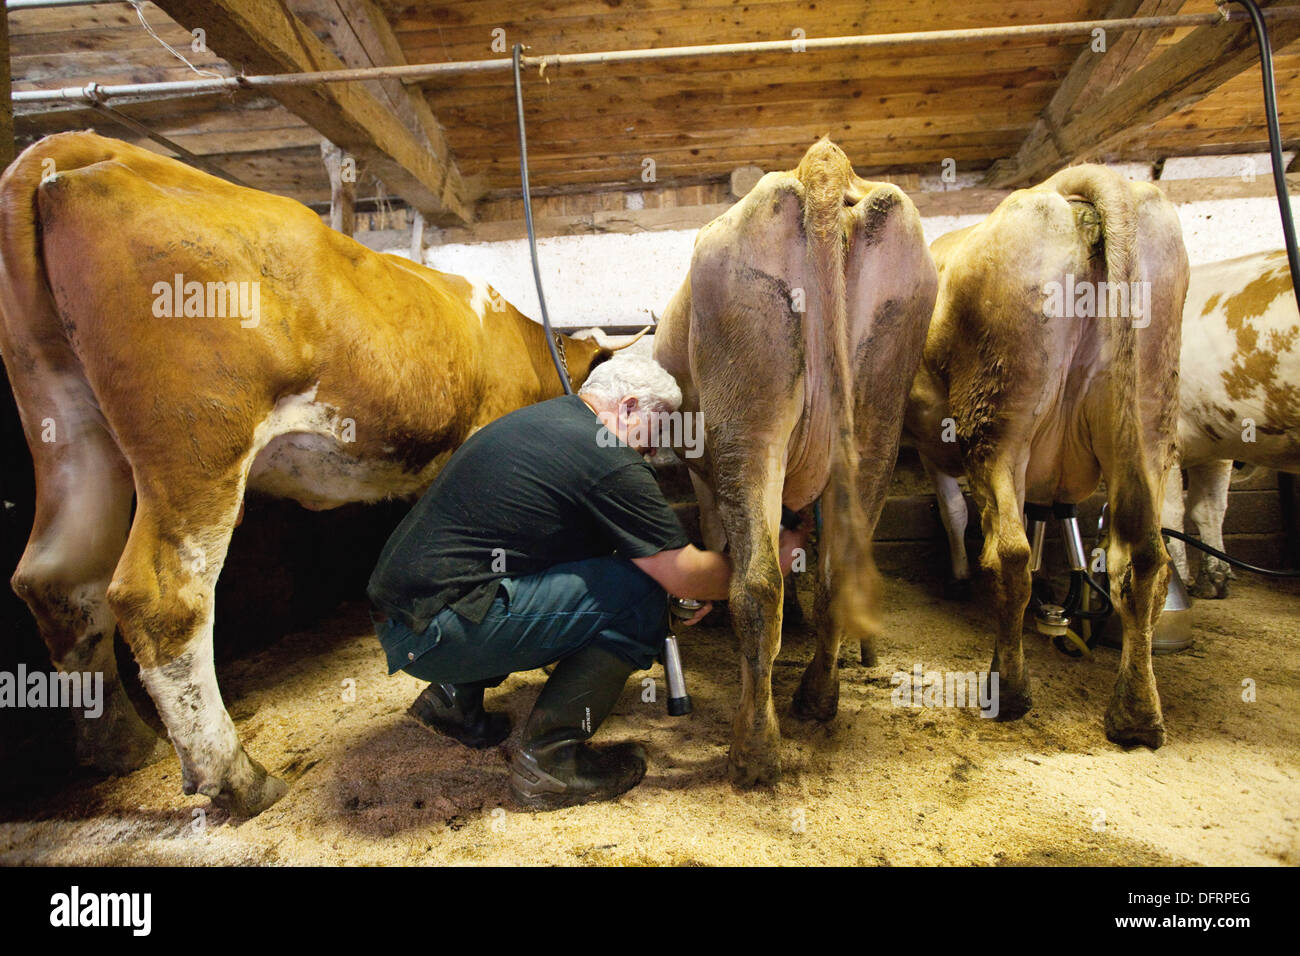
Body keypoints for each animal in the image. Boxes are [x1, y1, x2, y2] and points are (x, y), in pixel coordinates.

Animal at [0, 131, 626, 816]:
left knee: (58, 582)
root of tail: (91, 148)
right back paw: (239, 779)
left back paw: (123, 747)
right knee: (161, 599)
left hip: (70, 432)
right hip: (195, 448)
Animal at [654, 138, 938, 785]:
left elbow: (720, 539)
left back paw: (754, 751)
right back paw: (816, 699)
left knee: (757, 583)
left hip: (748, 421)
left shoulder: (704, 471)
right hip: (877, 420)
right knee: (836, 576)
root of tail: (822, 170)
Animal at [905, 164, 1188, 749]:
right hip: (1149, 426)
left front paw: (959, 574)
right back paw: (1136, 713)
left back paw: (1008, 690)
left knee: (1009, 554)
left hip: (996, 422)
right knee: (1144, 561)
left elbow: (954, 512)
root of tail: (1068, 195)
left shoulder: (931, 445)